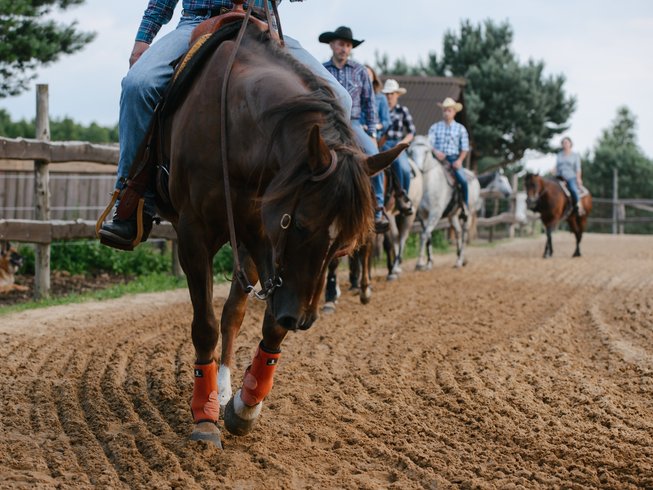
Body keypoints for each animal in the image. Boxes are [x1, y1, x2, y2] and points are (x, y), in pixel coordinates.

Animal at [155, 21, 404, 446]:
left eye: (342, 244)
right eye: (300, 222)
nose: (302, 319)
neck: (235, 127)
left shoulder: (264, 237)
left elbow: (269, 324)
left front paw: (245, 405)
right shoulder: (193, 234)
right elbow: (204, 325)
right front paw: (205, 416)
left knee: (234, 312)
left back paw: (227, 387)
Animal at [408, 135, 481, 269]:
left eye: (426, 152)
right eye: (411, 151)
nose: (418, 170)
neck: (428, 184)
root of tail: (473, 176)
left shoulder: (435, 213)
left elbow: (424, 235)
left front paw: (420, 263)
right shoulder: (423, 215)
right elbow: (427, 235)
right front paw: (428, 262)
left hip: (468, 213)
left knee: (464, 233)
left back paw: (460, 261)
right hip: (453, 215)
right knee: (458, 232)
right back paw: (459, 259)